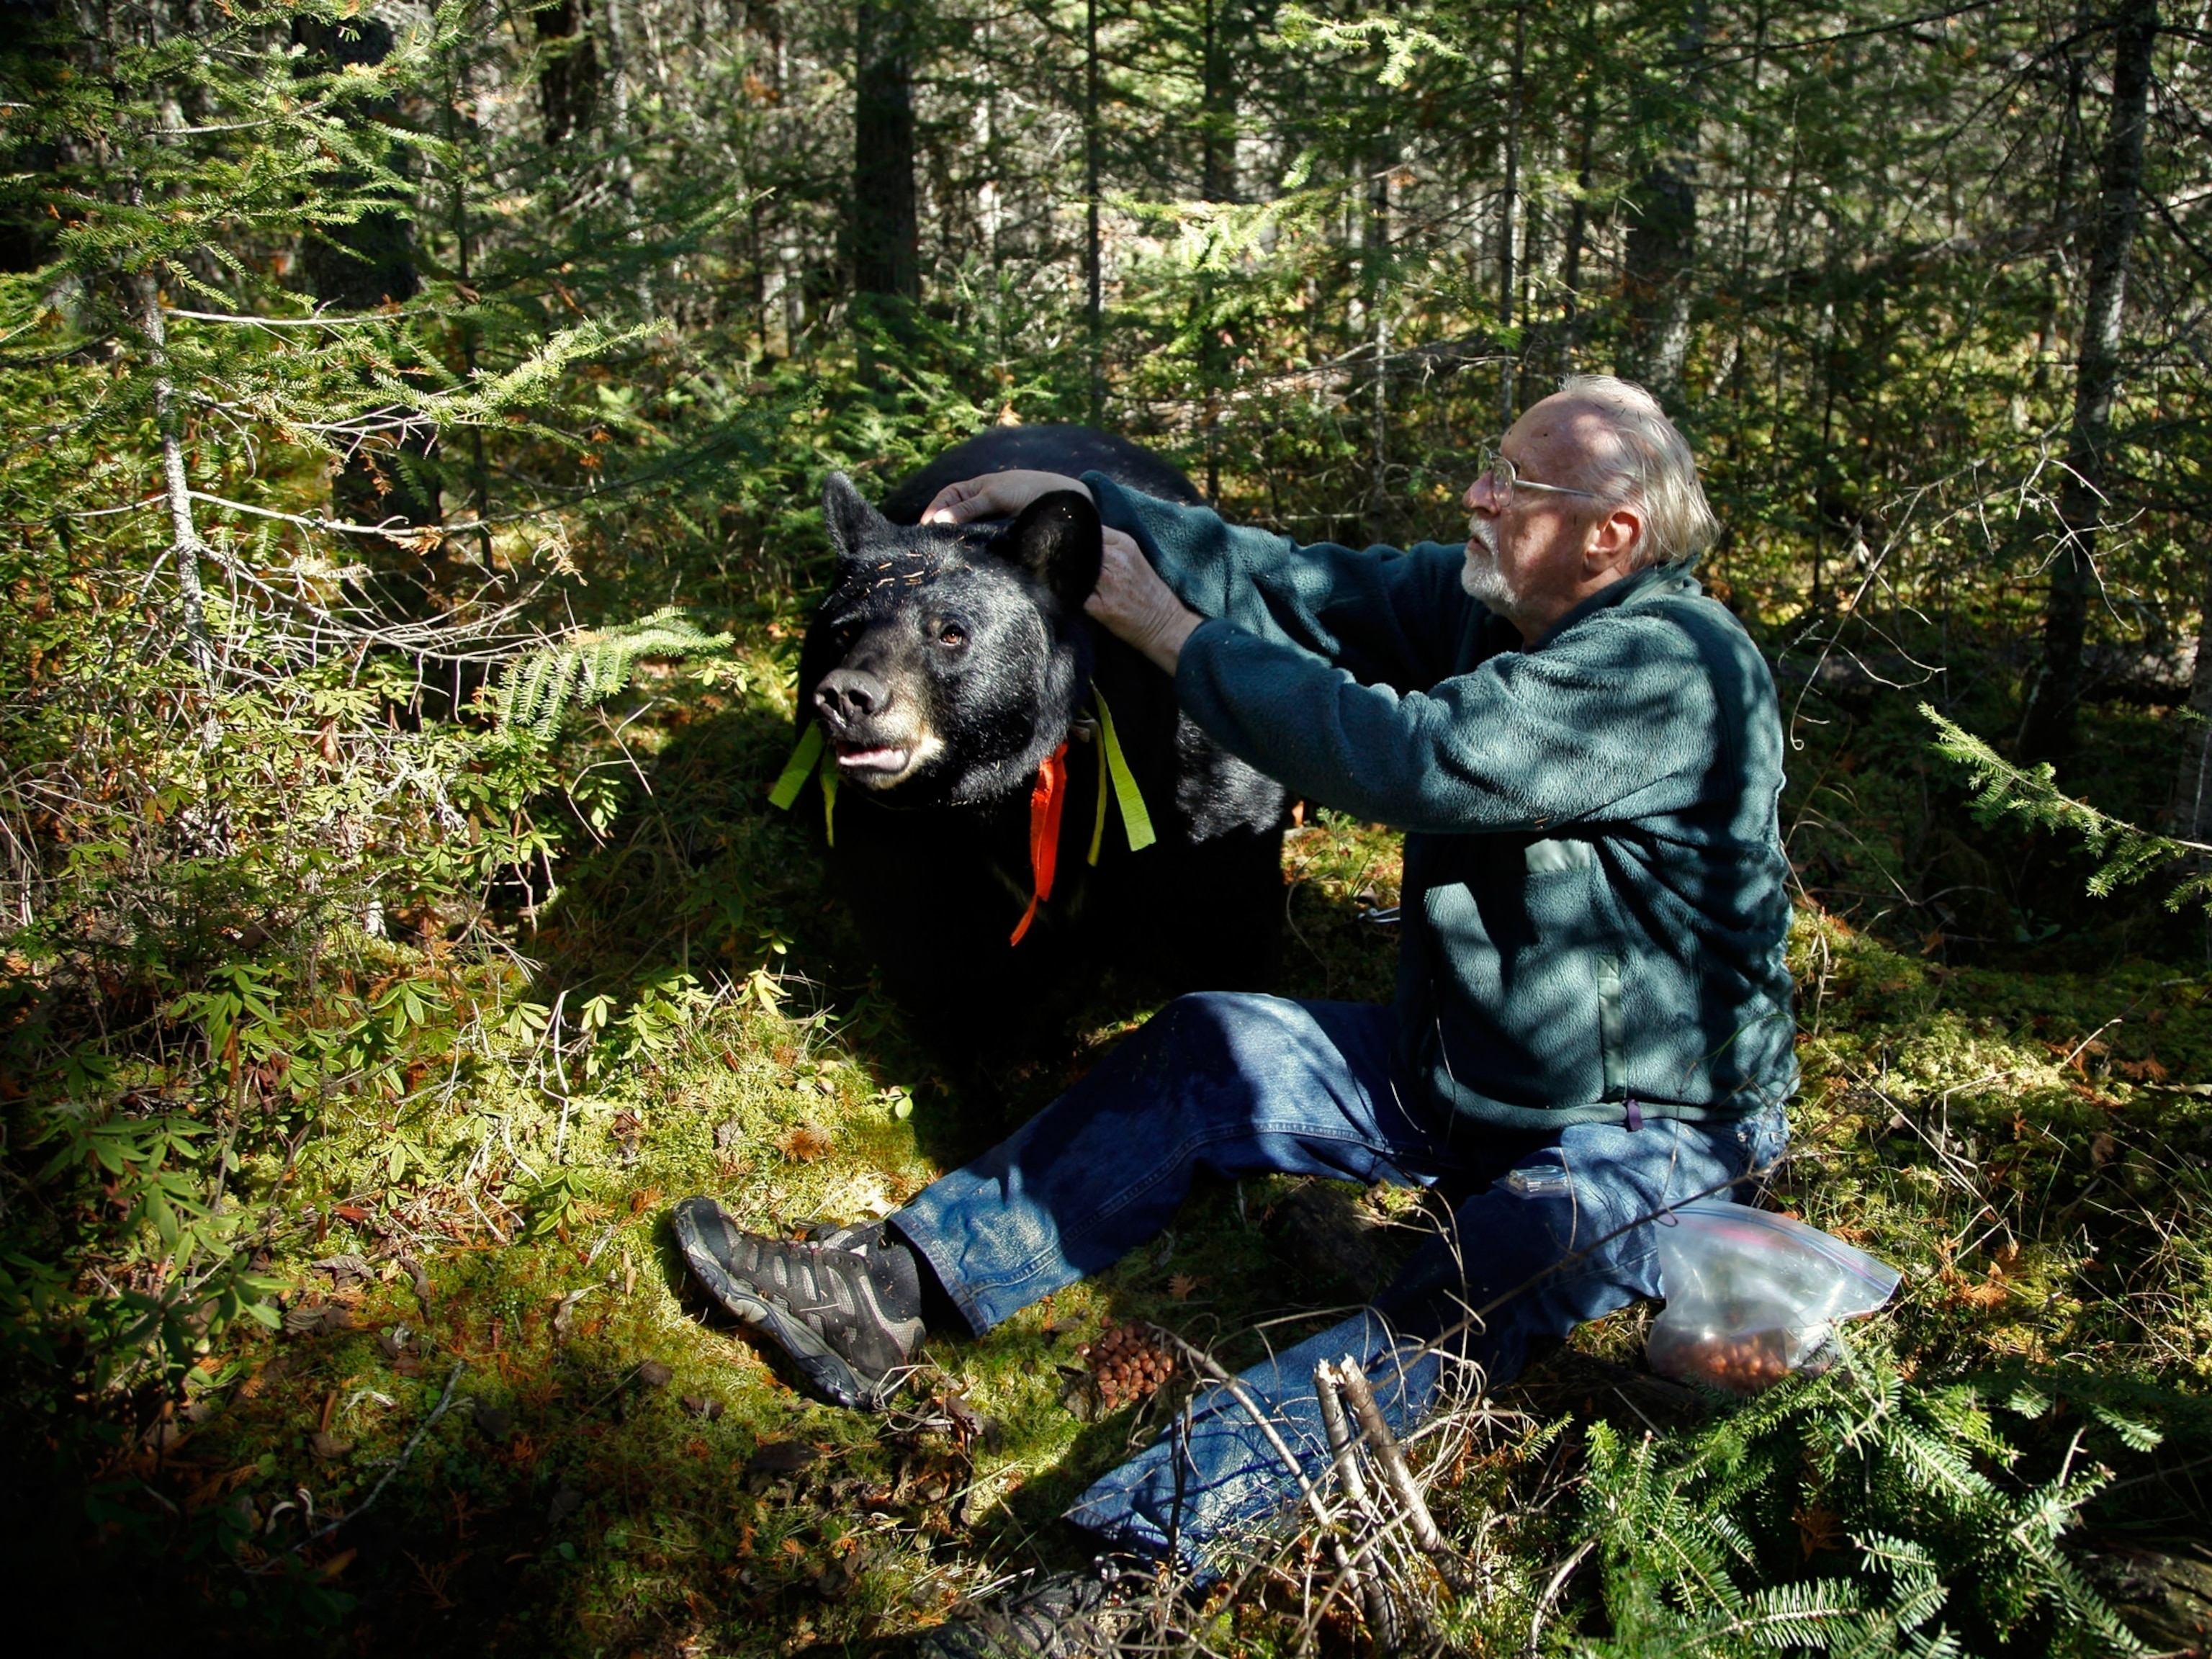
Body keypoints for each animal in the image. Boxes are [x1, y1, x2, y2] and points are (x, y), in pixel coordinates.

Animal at [772, 426, 1288, 1051]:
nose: (847, 697)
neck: (1005, 789)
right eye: (844, 631)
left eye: (951, 633)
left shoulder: (1183, 782)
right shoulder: (903, 847)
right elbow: (941, 960)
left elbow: (1219, 905)